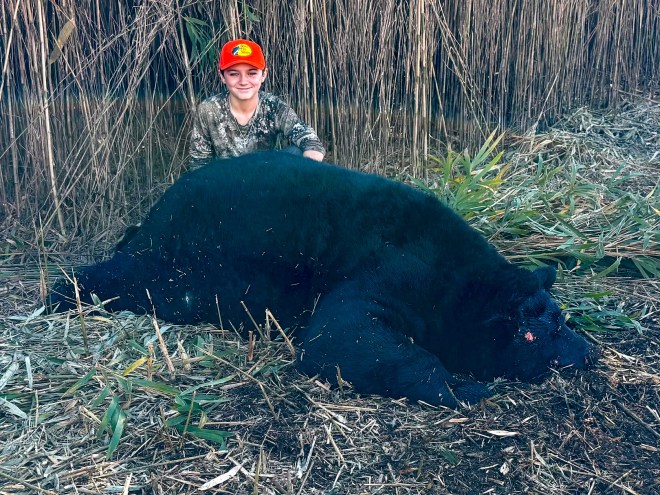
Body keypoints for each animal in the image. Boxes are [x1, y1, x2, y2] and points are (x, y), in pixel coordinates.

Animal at [50, 152, 598, 407]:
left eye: (565, 320)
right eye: (546, 329)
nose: (591, 353)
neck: (458, 287)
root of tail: (155, 210)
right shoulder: (384, 275)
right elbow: (338, 338)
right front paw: (460, 386)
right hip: (168, 266)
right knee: (114, 276)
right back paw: (63, 295)